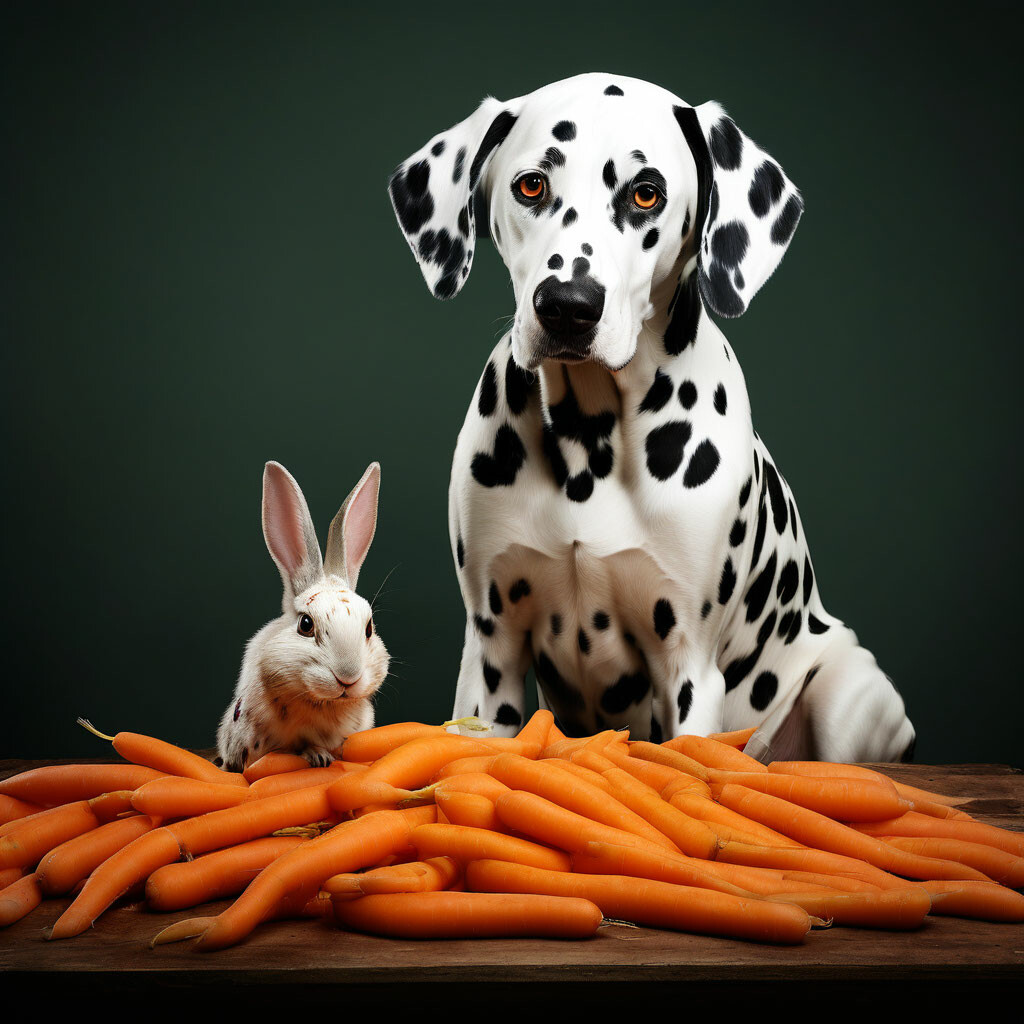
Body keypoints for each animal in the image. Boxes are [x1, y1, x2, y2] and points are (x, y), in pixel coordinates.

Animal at [216, 460, 389, 771]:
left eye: (369, 628)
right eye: (305, 624)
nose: (348, 676)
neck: (325, 704)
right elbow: (297, 748)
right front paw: (317, 755)